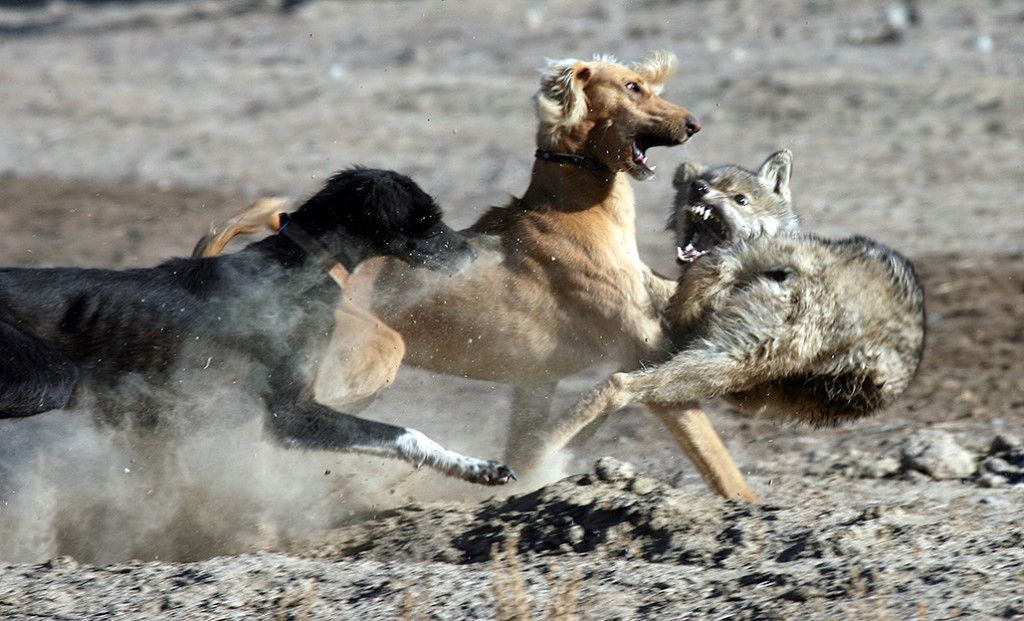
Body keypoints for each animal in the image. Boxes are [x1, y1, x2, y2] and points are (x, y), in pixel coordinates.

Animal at [0, 169, 516, 487]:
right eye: (427, 218)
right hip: (46, 379)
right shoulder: (290, 414)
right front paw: (476, 465)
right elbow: (404, 433)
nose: (472, 253)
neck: (301, 265)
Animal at [195, 52, 765, 502]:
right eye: (632, 86)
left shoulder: (537, 383)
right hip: (372, 354)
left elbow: (536, 445)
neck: (577, 214)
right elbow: (722, 468)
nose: (693, 124)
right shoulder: (646, 359)